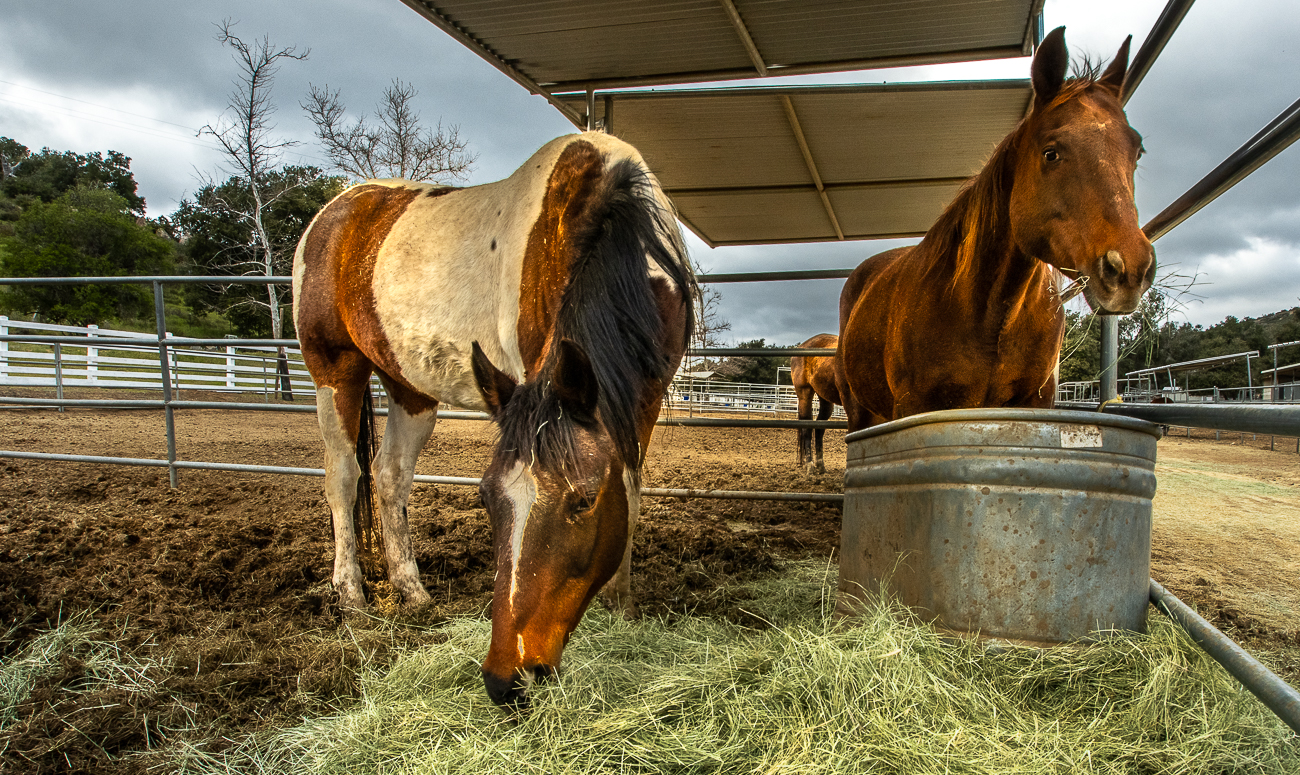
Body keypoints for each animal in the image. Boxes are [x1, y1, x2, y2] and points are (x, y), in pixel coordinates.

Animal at [292, 132, 696, 707]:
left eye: (584, 501)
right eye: (482, 499)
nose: (508, 678)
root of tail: (338, 208)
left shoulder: (646, 396)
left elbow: (631, 492)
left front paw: (621, 606)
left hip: (410, 390)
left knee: (390, 478)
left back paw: (412, 591)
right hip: (334, 370)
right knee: (344, 478)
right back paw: (352, 595)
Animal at [790, 333, 841, 474]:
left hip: (825, 398)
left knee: (819, 428)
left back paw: (820, 465)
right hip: (804, 393)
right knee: (807, 428)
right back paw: (809, 466)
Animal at [836, 28, 1154, 432]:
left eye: (1137, 152)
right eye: (1051, 152)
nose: (1129, 269)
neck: (992, 318)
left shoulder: (1035, 403)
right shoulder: (913, 408)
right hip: (858, 412)